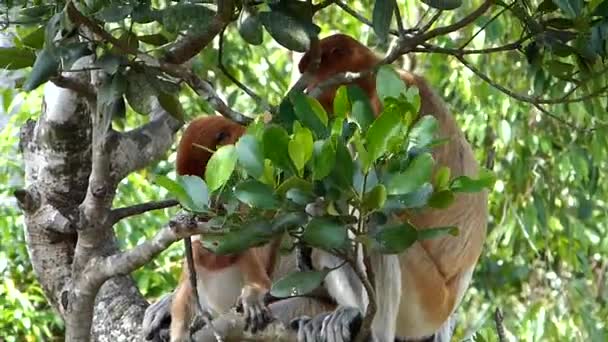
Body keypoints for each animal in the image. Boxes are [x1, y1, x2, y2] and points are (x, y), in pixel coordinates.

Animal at [290, 32, 490, 342]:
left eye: (312, 67)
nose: (302, 88)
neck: (371, 80)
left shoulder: (397, 99)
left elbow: (381, 193)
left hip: (424, 302)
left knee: (375, 224)